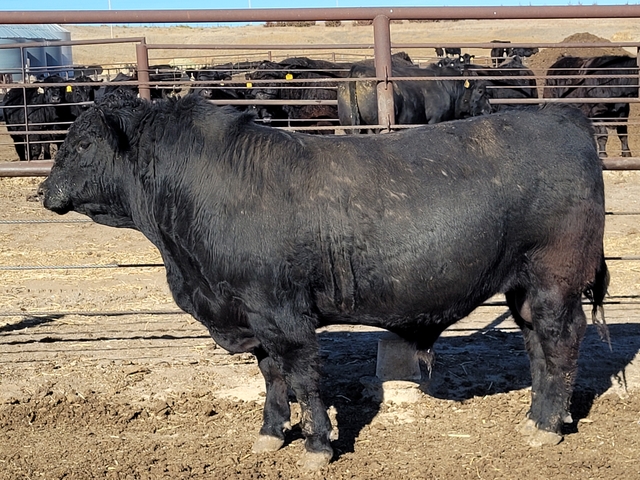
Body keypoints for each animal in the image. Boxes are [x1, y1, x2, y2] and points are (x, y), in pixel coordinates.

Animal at [39, 90, 609, 470]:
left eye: (84, 143)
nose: (44, 191)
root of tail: (563, 116)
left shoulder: (284, 314)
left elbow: (305, 377)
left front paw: (317, 447)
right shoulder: (254, 317)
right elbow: (271, 376)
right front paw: (270, 434)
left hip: (555, 280)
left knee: (560, 342)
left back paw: (547, 427)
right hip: (523, 288)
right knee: (537, 346)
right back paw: (539, 418)